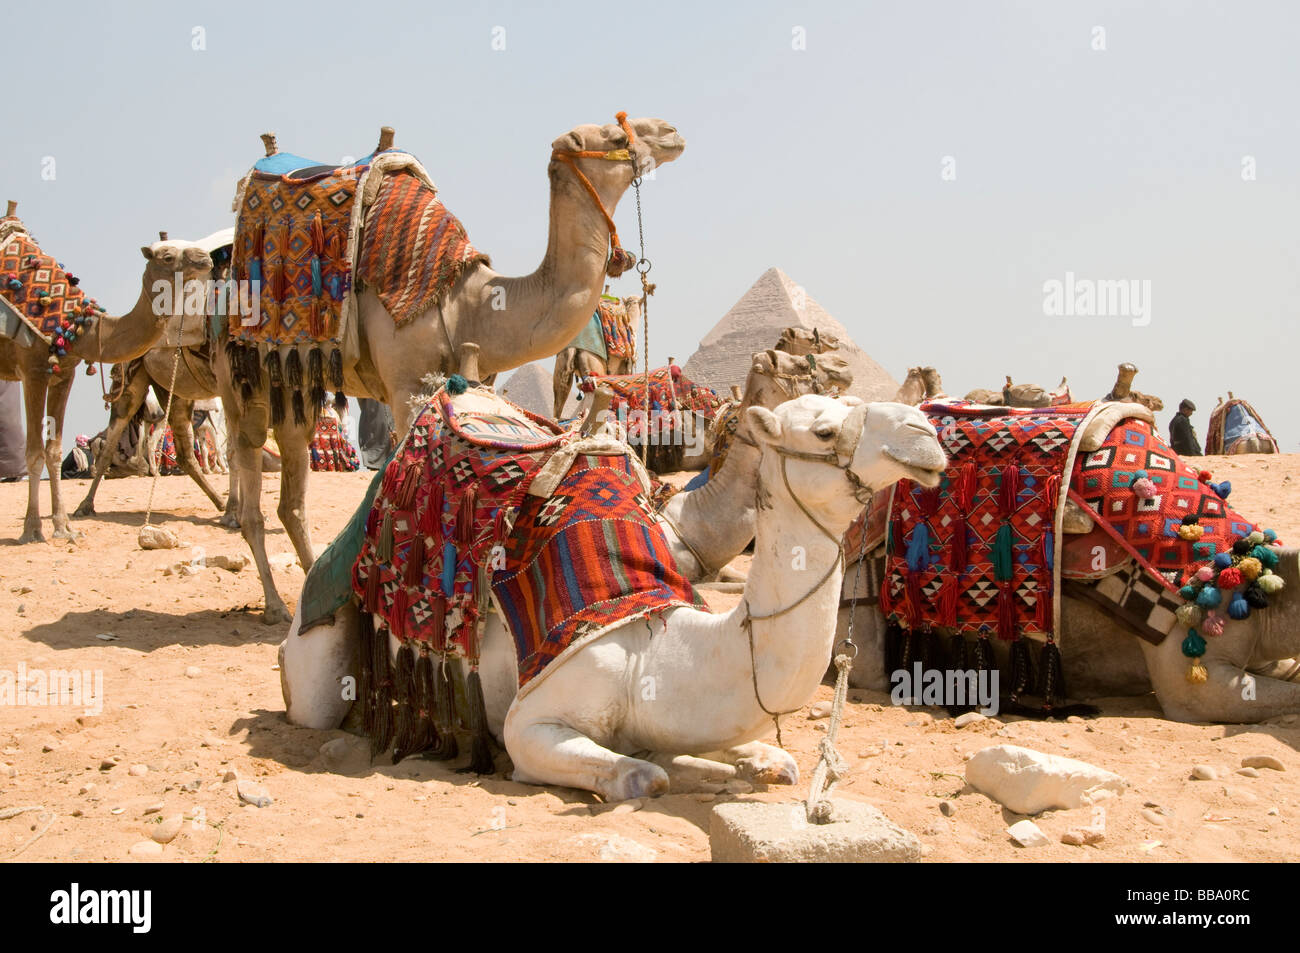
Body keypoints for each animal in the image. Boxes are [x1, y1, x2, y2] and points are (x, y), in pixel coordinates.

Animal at [0, 209, 214, 542]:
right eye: (167, 255)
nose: (205, 257)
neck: (78, 328)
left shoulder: (63, 374)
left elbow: (53, 449)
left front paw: (63, 527)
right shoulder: (33, 371)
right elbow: (35, 451)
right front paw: (33, 529)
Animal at [223, 115, 685, 624]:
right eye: (618, 137)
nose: (670, 130)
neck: (470, 303)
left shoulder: (475, 374)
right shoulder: (406, 384)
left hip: (293, 382)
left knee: (291, 482)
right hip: (240, 371)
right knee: (249, 461)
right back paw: (273, 605)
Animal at [280, 394, 947, 801]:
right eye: (824, 429)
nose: (924, 433)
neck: (657, 652)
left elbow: (774, 759)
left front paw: (747, 761)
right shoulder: (533, 719)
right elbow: (645, 775)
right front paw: (681, 768)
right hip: (318, 659)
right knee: (314, 700)